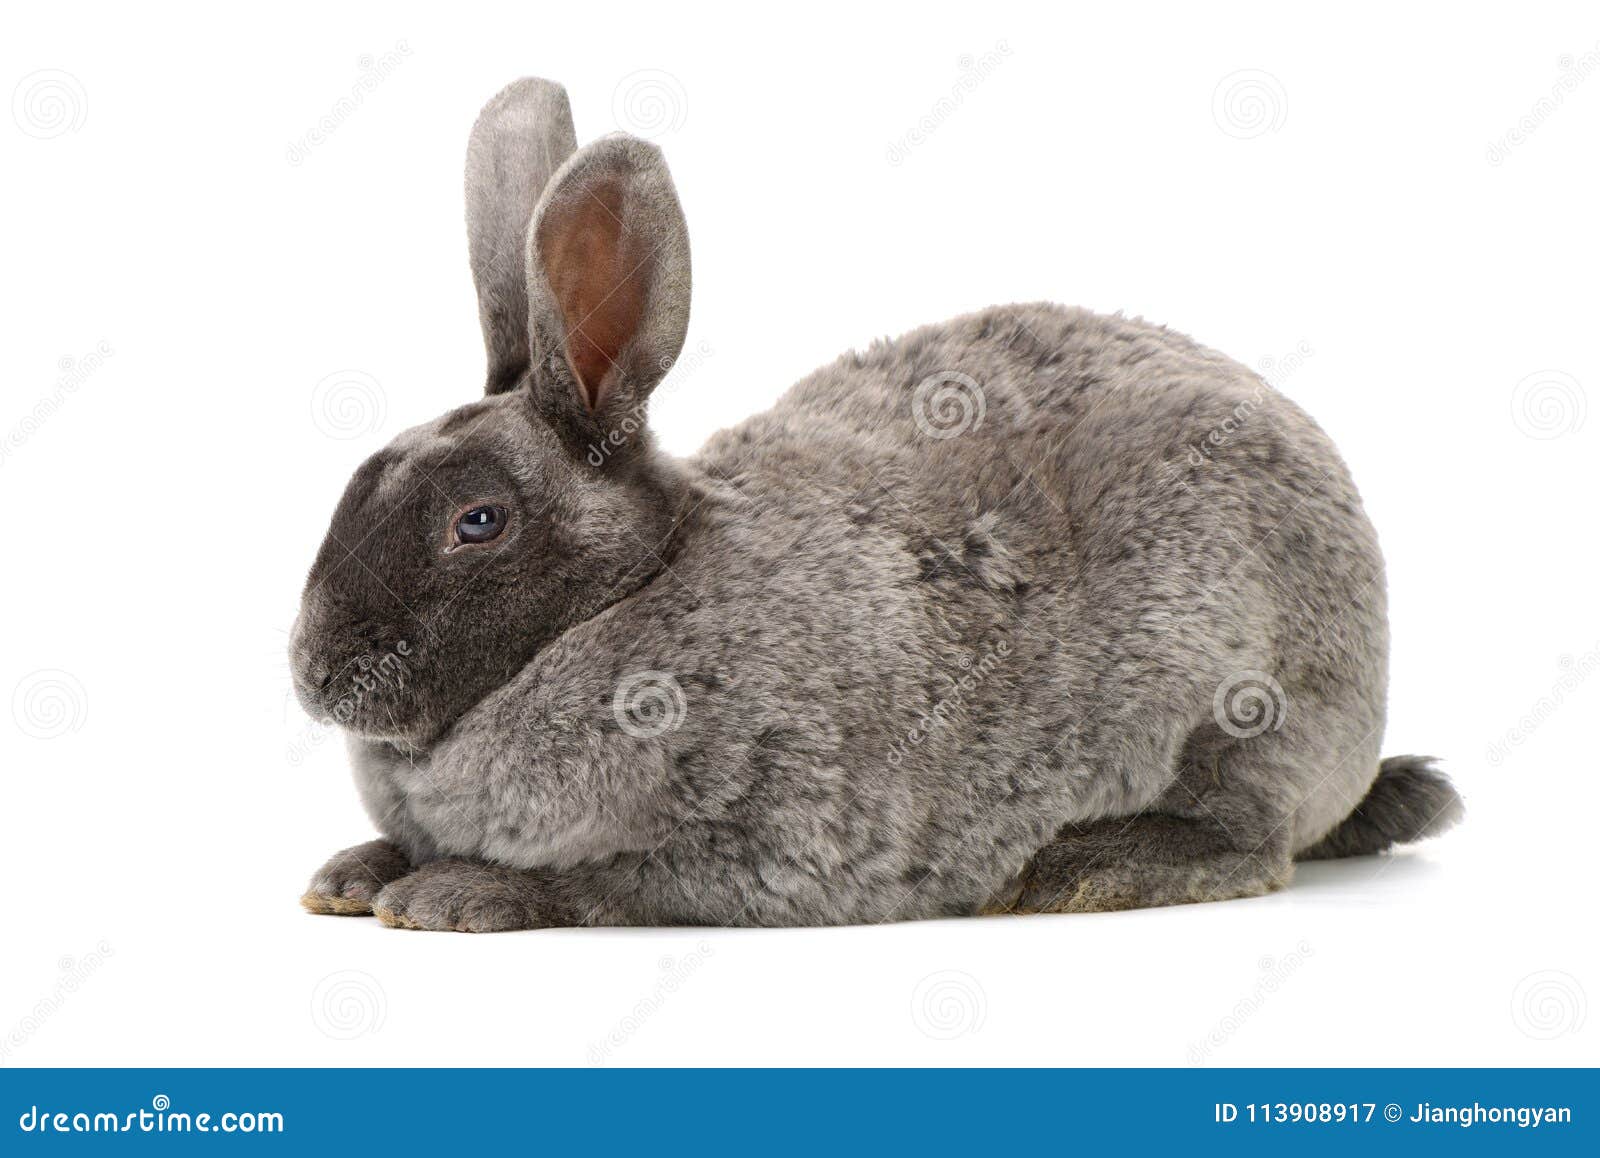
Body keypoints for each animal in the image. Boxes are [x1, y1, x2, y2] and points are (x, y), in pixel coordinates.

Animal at [290, 77, 1462, 932]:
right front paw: (352, 876)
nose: (312, 678)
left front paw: (451, 894)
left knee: (1253, 840)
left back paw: (1082, 869)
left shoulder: (753, 840)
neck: (629, 592)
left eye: (477, 522)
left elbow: (600, 887)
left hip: (1247, 702)